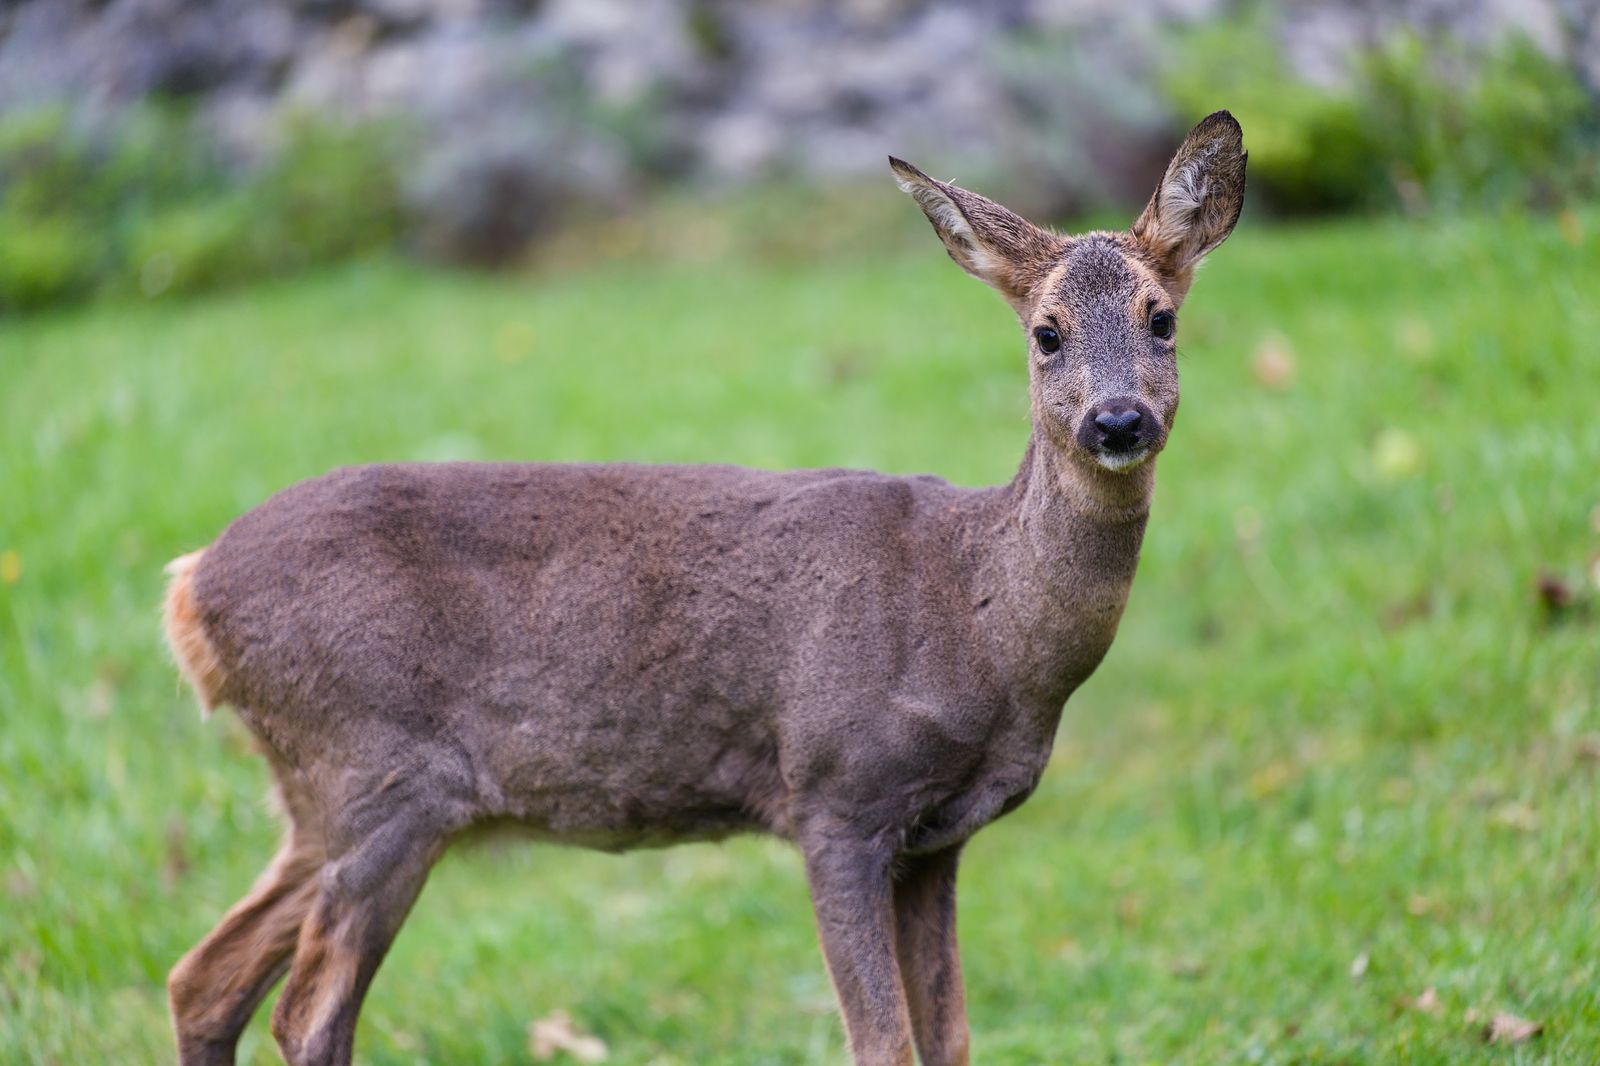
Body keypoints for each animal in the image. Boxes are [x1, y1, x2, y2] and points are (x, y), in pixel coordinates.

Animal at [162, 111, 1245, 1066]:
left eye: (1162, 319)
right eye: (1046, 333)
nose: (1117, 421)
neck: (980, 622)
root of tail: (190, 588)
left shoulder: (938, 836)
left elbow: (951, 1040)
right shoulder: (834, 791)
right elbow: (882, 1042)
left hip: (325, 795)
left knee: (202, 975)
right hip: (374, 770)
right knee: (303, 1011)